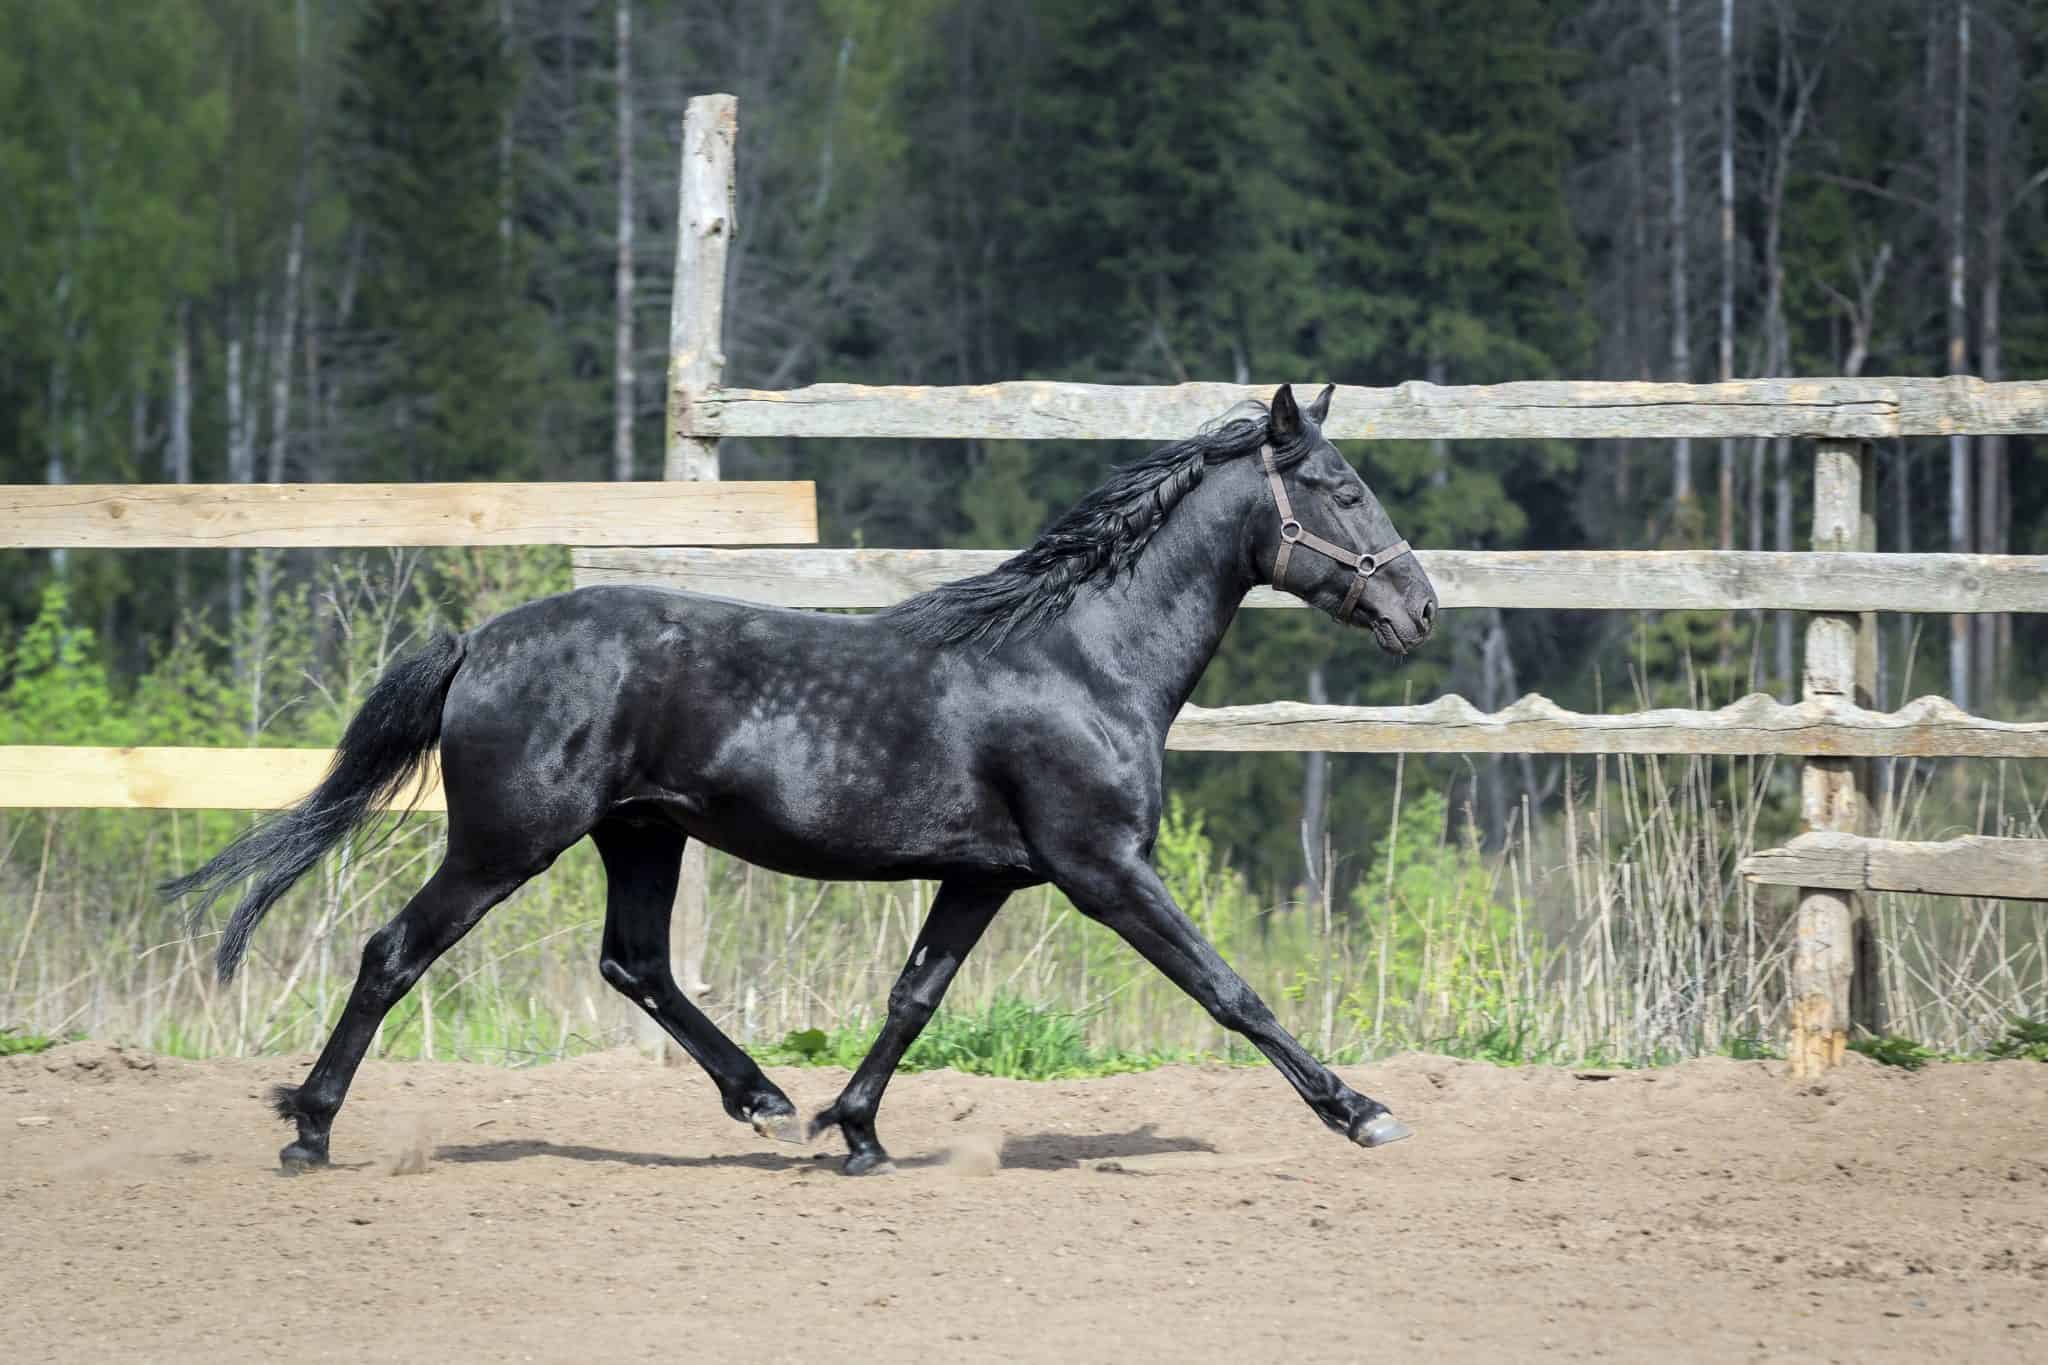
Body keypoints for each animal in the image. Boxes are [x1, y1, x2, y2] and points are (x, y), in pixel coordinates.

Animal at [164, 382, 1438, 1174]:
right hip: (504, 843)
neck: (1080, 660)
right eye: (1337, 489)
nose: (1420, 607)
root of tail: (477, 642)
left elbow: (913, 998)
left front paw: (855, 1131)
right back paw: (308, 1131)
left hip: (641, 834)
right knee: (393, 954)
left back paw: (767, 1103)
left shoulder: (988, 877)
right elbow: (1229, 992)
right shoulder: (1104, 869)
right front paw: (1361, 1113)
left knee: (634, 963)